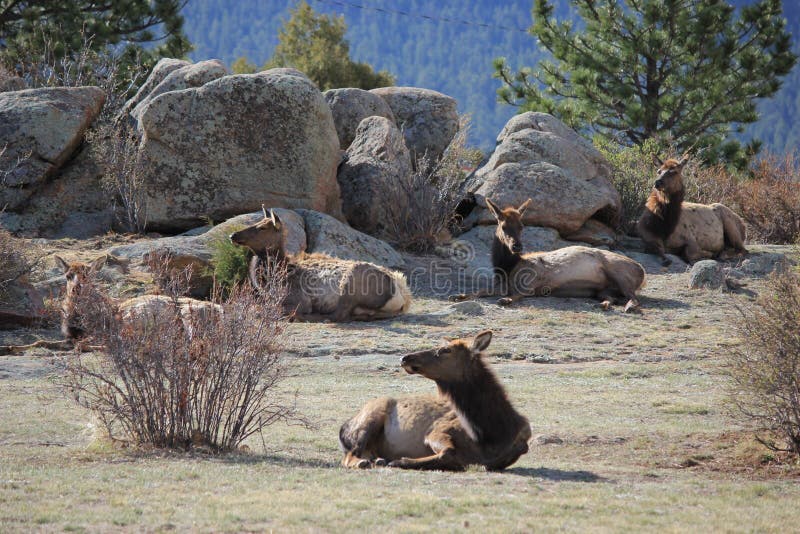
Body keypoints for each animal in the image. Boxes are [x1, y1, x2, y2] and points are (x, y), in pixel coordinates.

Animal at [229, 208, 411, 322]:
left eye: (262, 228)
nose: (233, 235)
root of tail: (403, 296)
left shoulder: (299, 300)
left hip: (352, 279)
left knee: (338, 315)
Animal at [339, 330, 531, 471]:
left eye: (446, 350)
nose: (405, 358)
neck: (491, 435)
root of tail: (344, 426)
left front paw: (398, 461)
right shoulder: (436, 430)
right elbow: (448, 451)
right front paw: (400, 461)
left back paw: (377, 460)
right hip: (370, 417)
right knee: (348, 456)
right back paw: (365, 462)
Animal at [450, 198, 646, 312]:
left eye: (522, 226)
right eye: (504, 226)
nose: (517, 246)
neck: (507, 268)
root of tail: (642, 272)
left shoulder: (531, 283)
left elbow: (515, 296)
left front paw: (504, 300)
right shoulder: (500, 285)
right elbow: (478, 291)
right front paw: (458, 295)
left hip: (619, 273)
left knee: (634, 298)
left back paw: (628, 307)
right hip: (603, 290)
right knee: (612, 298)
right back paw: (604, 304)